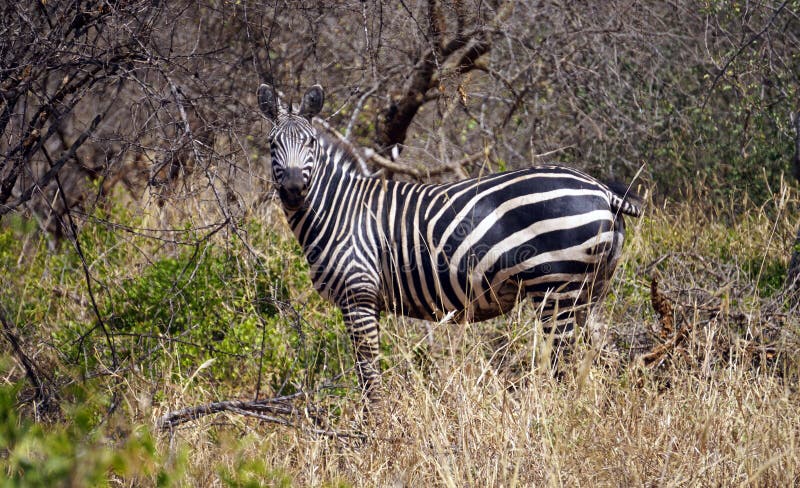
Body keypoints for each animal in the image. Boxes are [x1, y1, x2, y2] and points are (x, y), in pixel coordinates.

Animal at [257, 83, 641, 402]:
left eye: (310, 142)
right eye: (272, 144)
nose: (293, 189)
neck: (337, 209)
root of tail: (602, 189)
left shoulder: (358, 295)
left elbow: (368, 376)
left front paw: (373, 429)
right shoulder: (368, 300)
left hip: (556, 290)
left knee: (565, 366)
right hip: (591, 289)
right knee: (601, 360)